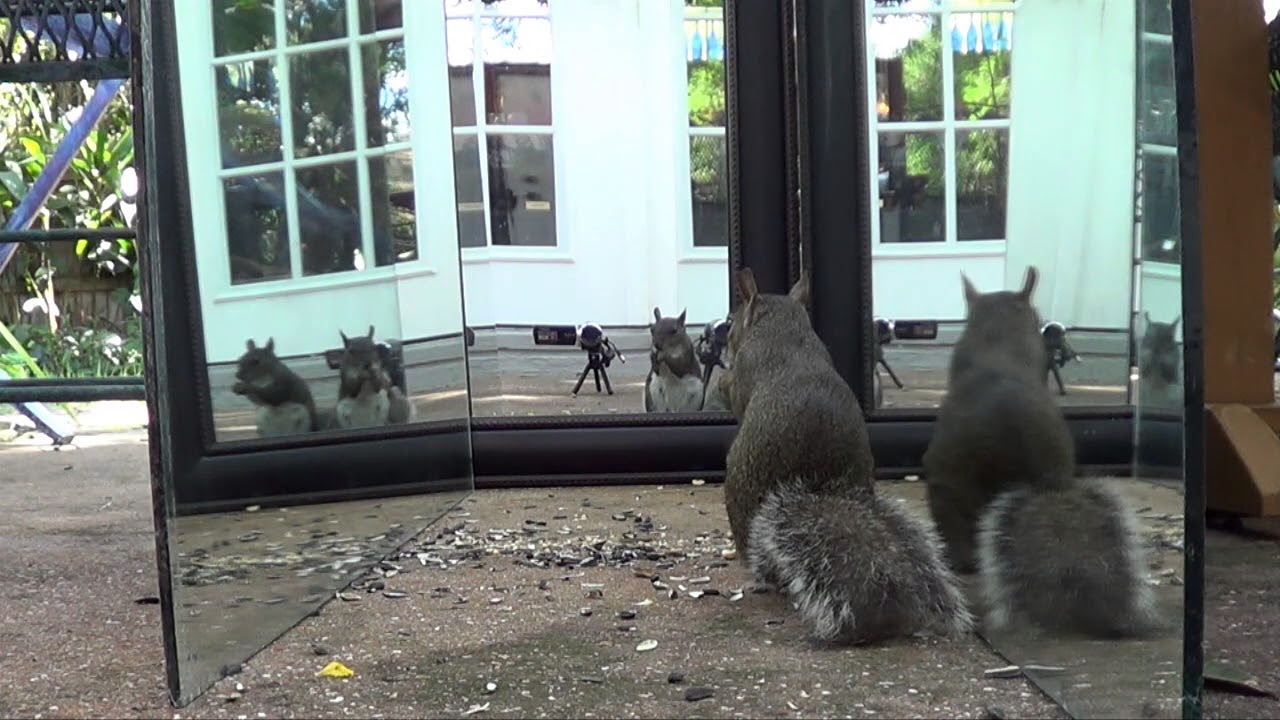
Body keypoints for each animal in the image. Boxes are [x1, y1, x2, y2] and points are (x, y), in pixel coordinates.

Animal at [721, 268, 972, 644]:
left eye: (733, 325)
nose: (725, 344)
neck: (784, 328)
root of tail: (815, 480)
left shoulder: (743, 375)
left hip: (739, 487)